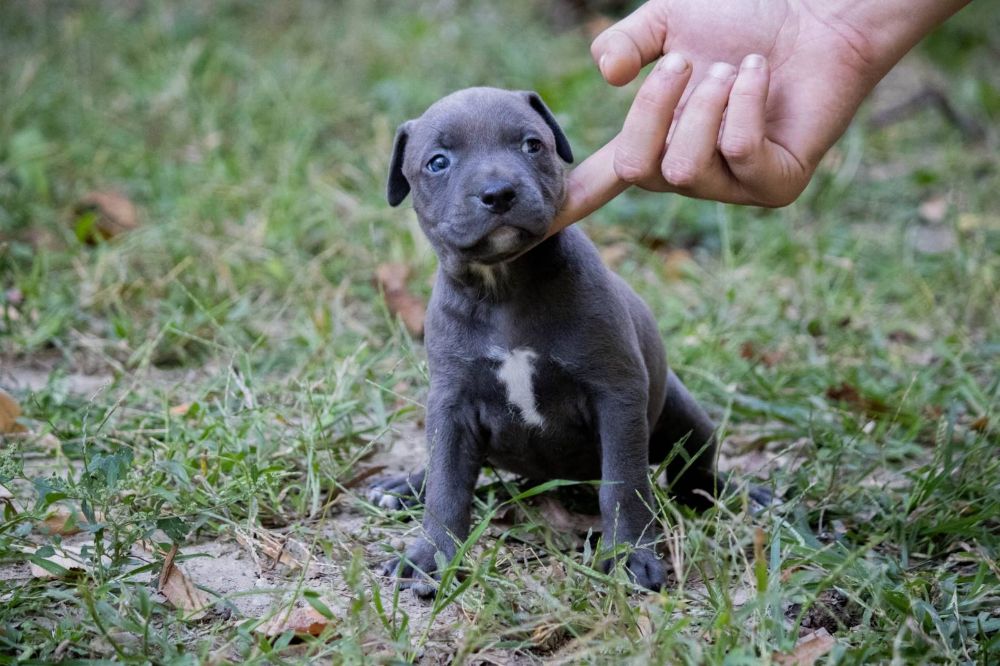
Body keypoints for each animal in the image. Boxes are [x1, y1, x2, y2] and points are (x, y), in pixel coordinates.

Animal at [372, 87, 732, 592]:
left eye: (531, 145)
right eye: (438, 162)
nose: (498, 193)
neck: (503, 287)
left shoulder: (617, 393)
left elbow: (625, 483)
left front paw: (629, 556)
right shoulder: (451, 405)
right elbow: (446, 485)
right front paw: (430, 556)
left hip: (684, 417)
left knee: (694, 473)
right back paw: (403, 486)